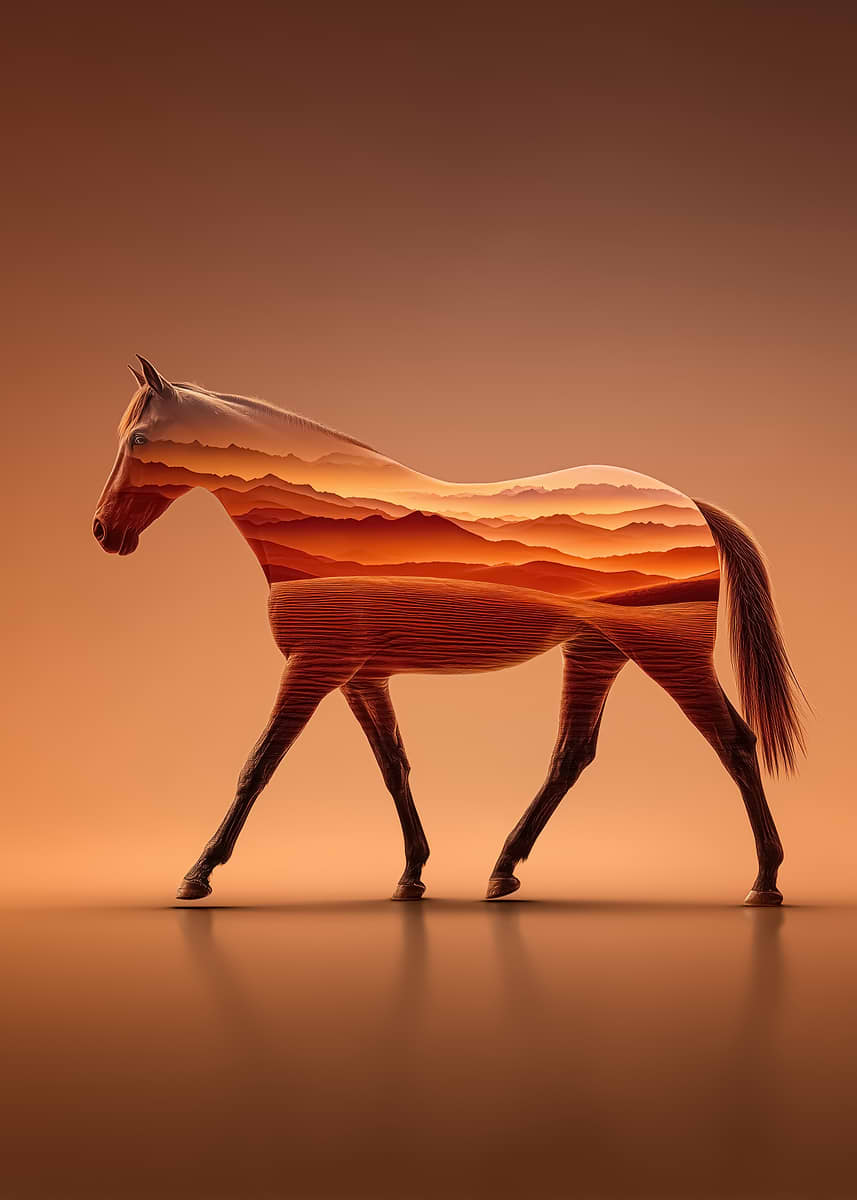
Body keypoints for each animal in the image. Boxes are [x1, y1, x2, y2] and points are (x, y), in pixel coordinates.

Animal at [92, 356, 804, 905]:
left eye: (138, 442)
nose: (104, 532)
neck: (325, 517)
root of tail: (690, 504)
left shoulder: (313, 665)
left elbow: (258, 765)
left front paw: (197, 875)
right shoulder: (359, 675)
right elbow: (394, 766)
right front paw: (412, 874)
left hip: (668, 653)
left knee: (735, 743)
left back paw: (765, 882)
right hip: (597, 652)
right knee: (571, 754)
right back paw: (502, 871)